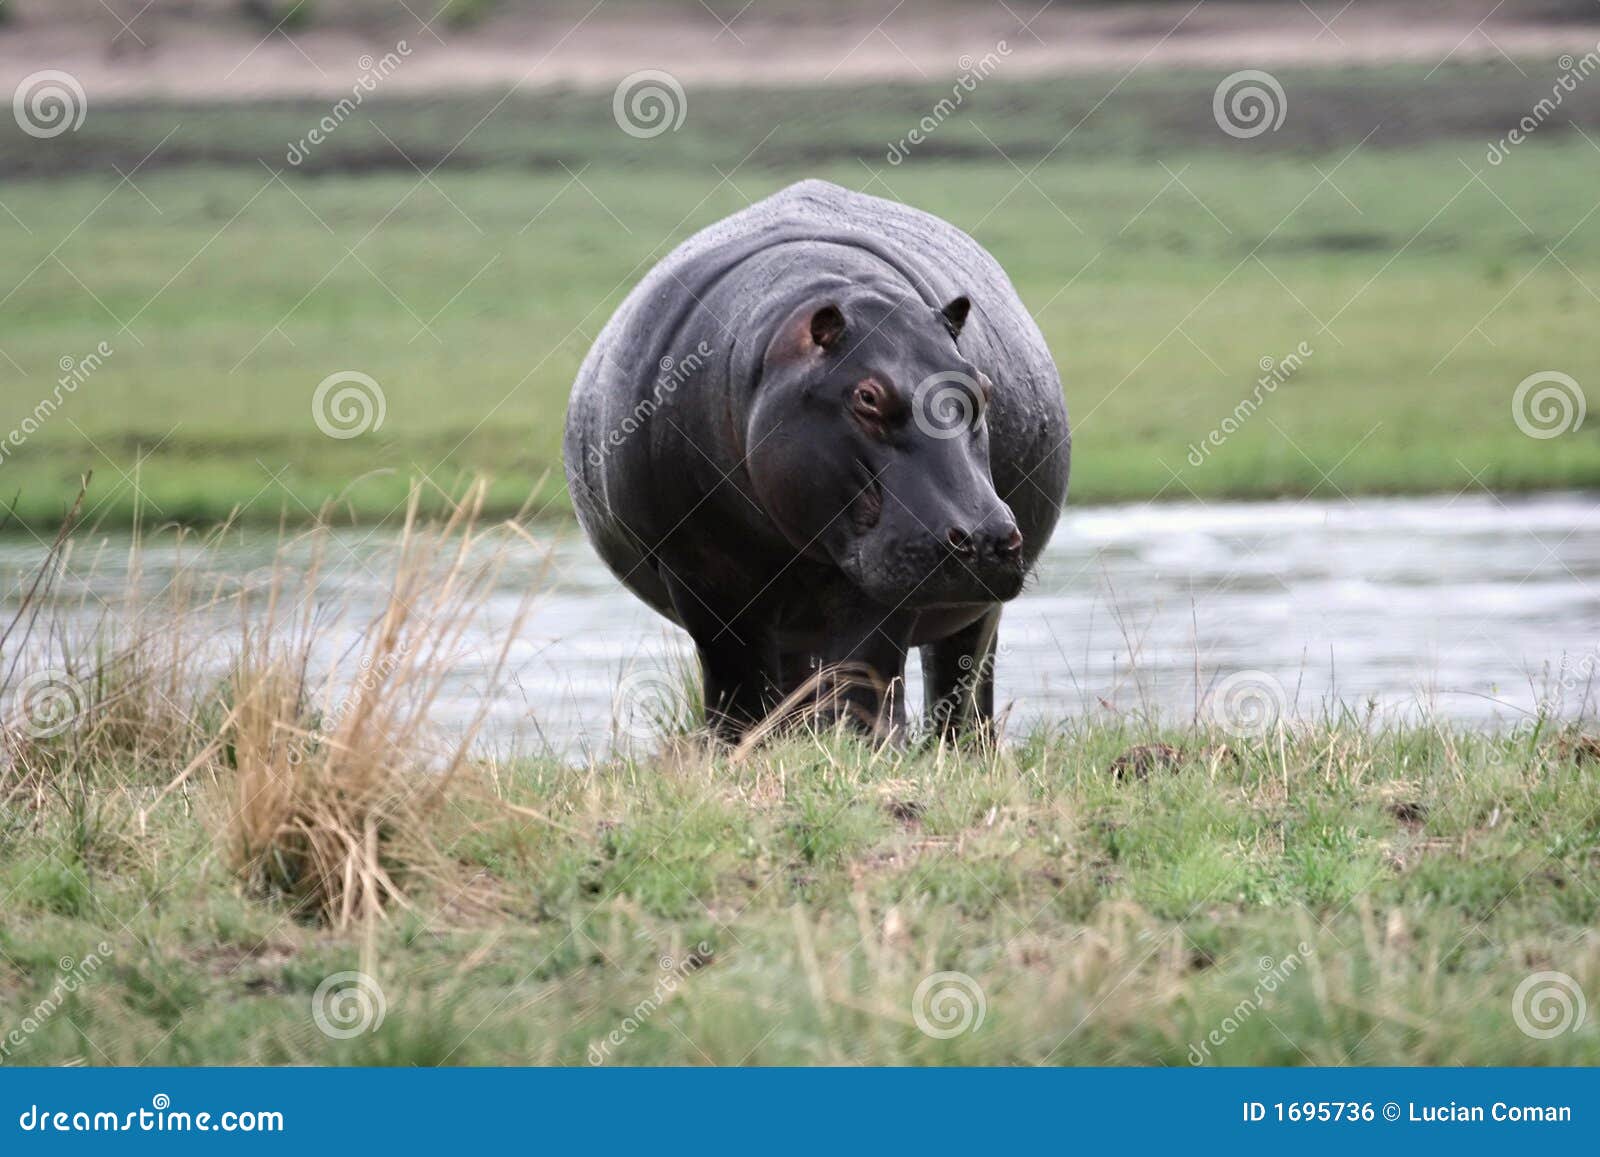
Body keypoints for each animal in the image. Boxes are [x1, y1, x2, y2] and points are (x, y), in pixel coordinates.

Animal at [563, 179, 1070, 743]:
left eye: (981, 386)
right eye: (867, 397)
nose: (983, 539)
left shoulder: (874, 575)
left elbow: (864, 672)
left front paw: (863, 746)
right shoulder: (698, 570)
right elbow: (734, 677)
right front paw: (736, 747)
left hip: (968, 610)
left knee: (961, 681)